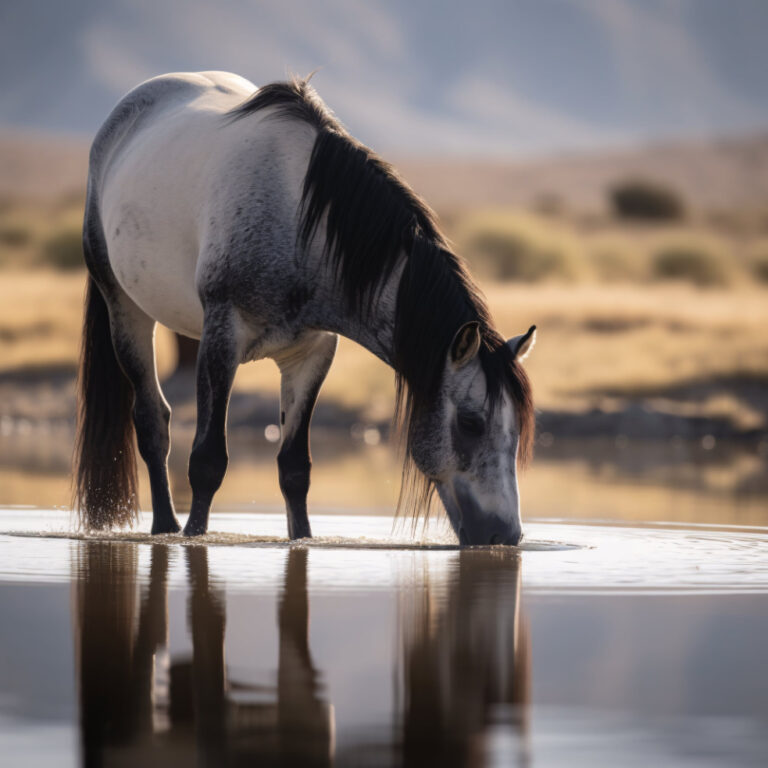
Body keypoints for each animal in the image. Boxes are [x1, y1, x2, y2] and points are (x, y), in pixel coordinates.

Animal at [74, 71, 536, 545]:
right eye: (471, 423)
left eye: (518, 427)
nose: (505, 534)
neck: (301, 227)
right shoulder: (222, 340)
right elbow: (207, 462)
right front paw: (193, 535)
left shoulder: (311, 354)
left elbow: (295, 470)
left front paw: (302, 537)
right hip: (125, 309)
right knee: (153, 425)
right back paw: (165, 526)